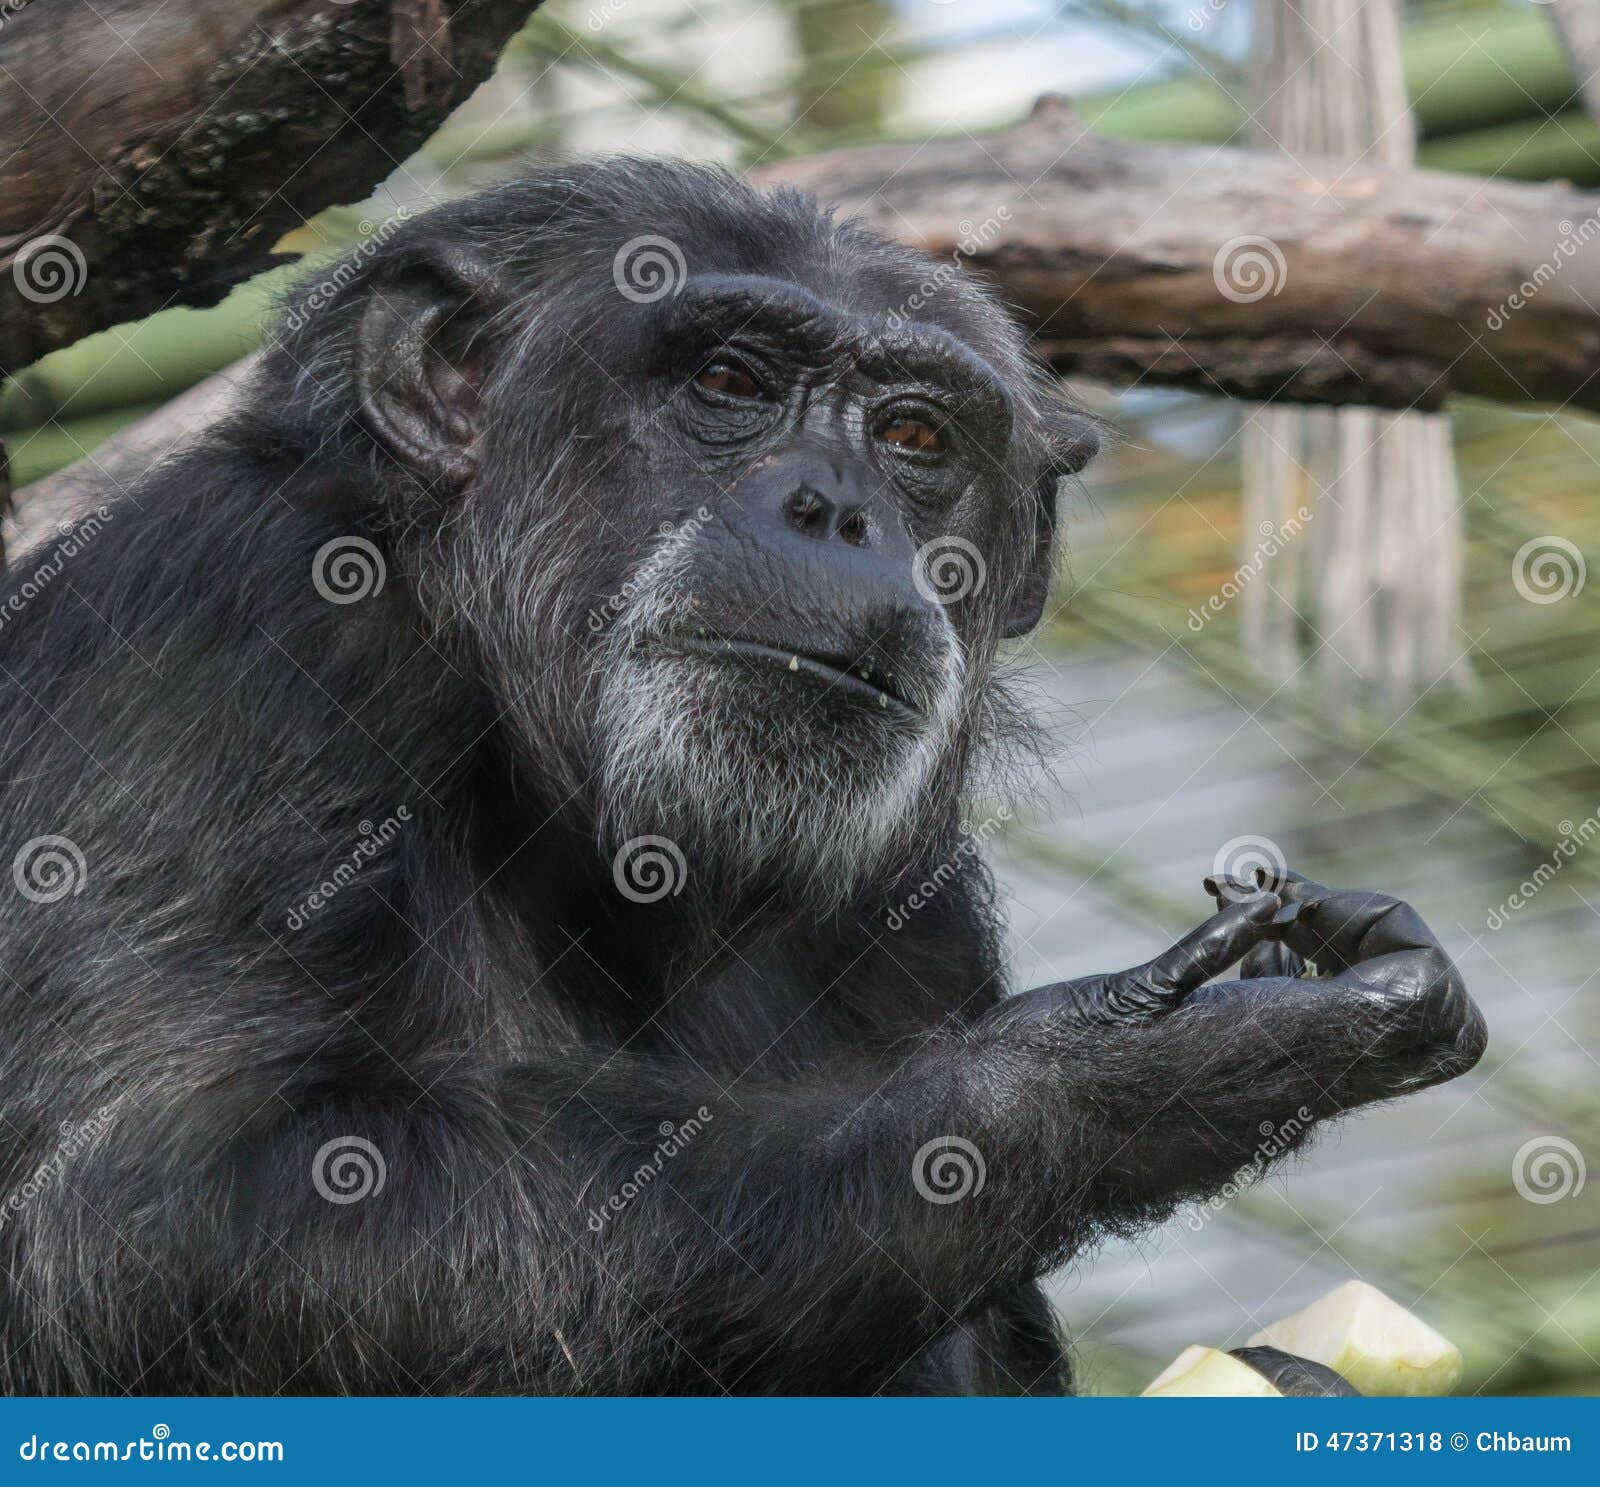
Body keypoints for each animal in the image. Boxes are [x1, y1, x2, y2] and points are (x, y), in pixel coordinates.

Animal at [0, 159, 1486, 1395]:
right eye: (728, 382)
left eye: (915, 438)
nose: (835, 510)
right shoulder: (218, 639)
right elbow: (157, 1200)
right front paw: (1119, 1073)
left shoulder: (920, 913)